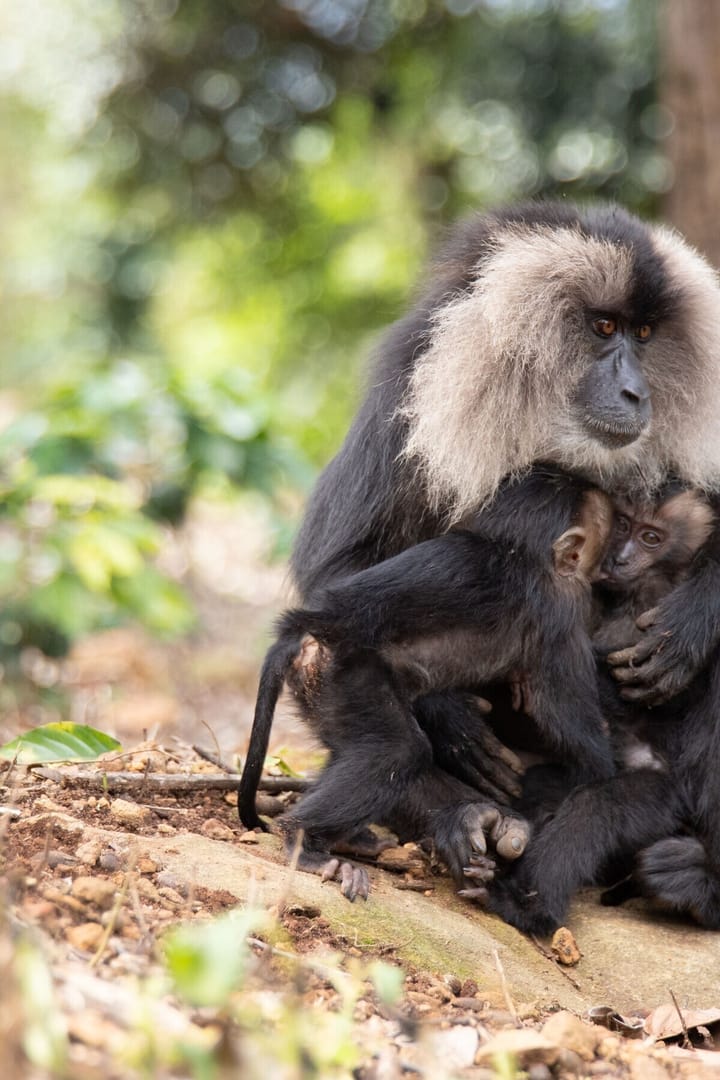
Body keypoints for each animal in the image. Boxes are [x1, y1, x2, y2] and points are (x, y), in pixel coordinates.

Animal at [239, 471, 614, 898]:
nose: (612, 566)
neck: (517, 549)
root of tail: (306, 630)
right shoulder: (561, 611)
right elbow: (573, 730)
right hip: (343, 673)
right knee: (397, 751)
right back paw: (303, 843)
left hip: (318, 685)